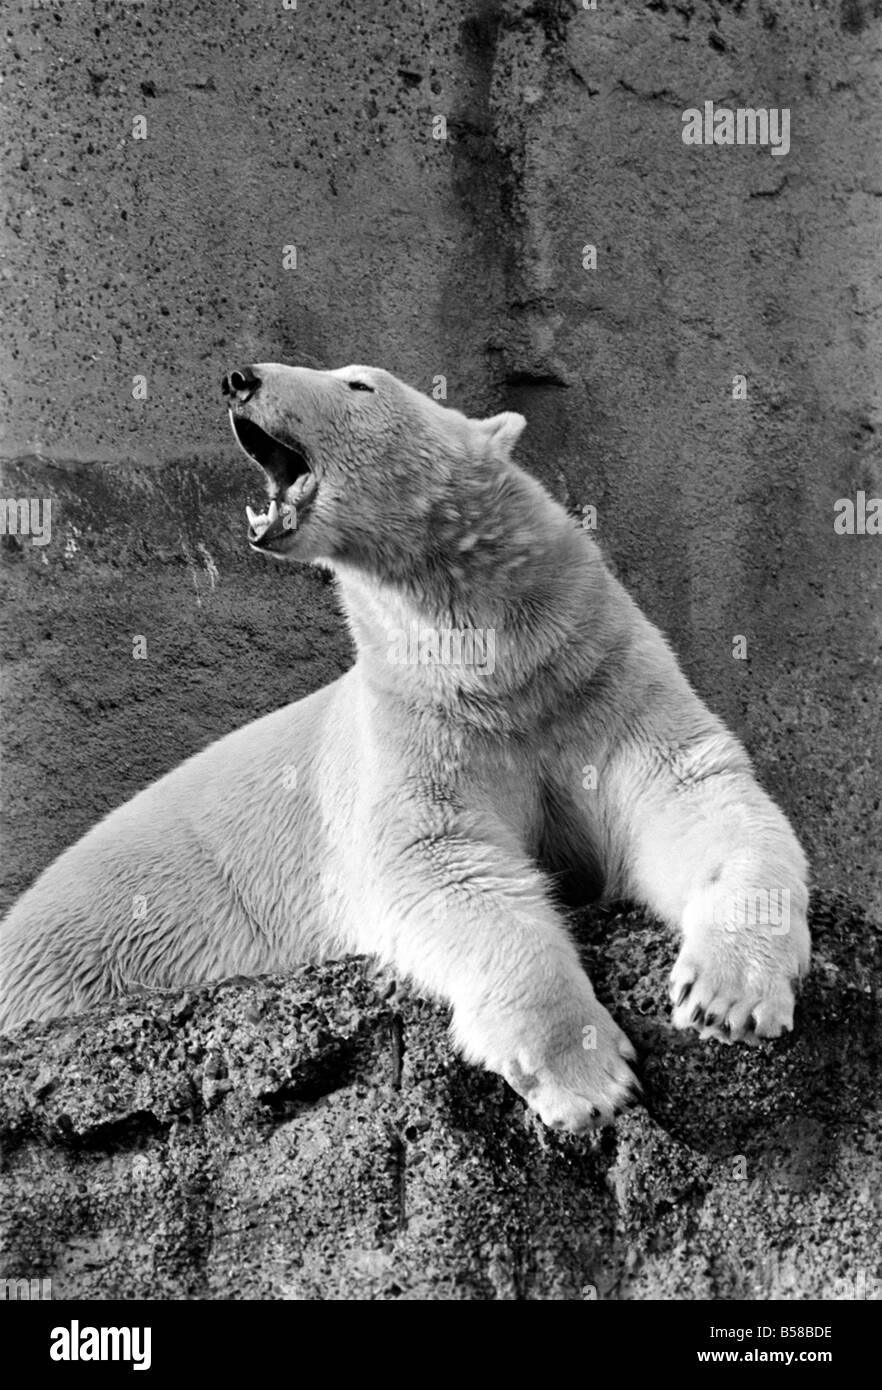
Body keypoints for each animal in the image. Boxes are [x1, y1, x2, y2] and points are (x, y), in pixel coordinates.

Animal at [0, 362, 811, 1132]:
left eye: (359, 383)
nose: (238, 378)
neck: (499, 662)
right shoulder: (414, 723)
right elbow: (438, 860)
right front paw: (590, 1079)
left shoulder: (596, 677)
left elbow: (691, 794)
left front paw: (727, 996)